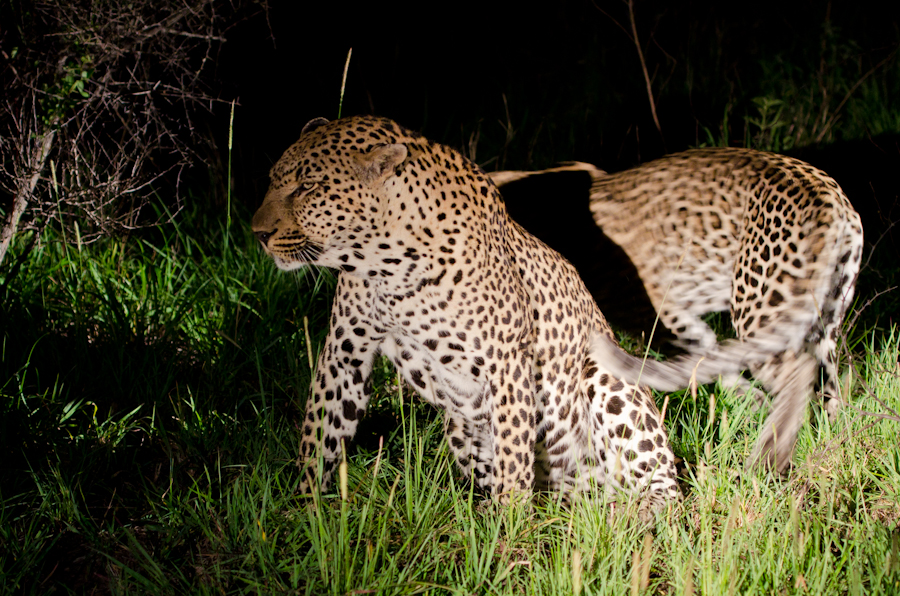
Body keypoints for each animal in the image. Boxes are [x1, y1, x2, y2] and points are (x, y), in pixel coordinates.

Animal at [251, 115, 680, 518]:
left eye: (307, 187)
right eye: (272, 181)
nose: (258, 233)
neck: (384, 265)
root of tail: (578, 493)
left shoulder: (506, 361)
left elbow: (513, 451)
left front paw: (509, 525)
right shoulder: (344, 351)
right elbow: (320, 429)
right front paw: (304, 507)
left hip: (605, 377)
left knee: (664, 481)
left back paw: (638, 511)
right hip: (459, 425)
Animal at [490, 148, 863, 474]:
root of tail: (822, 187)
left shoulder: (658, 310)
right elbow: (711, 359)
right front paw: (748, 400)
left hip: (761, 308)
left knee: (799, 369)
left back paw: (772, 453)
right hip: (826, 314)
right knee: (833, 375)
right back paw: (833, 431)